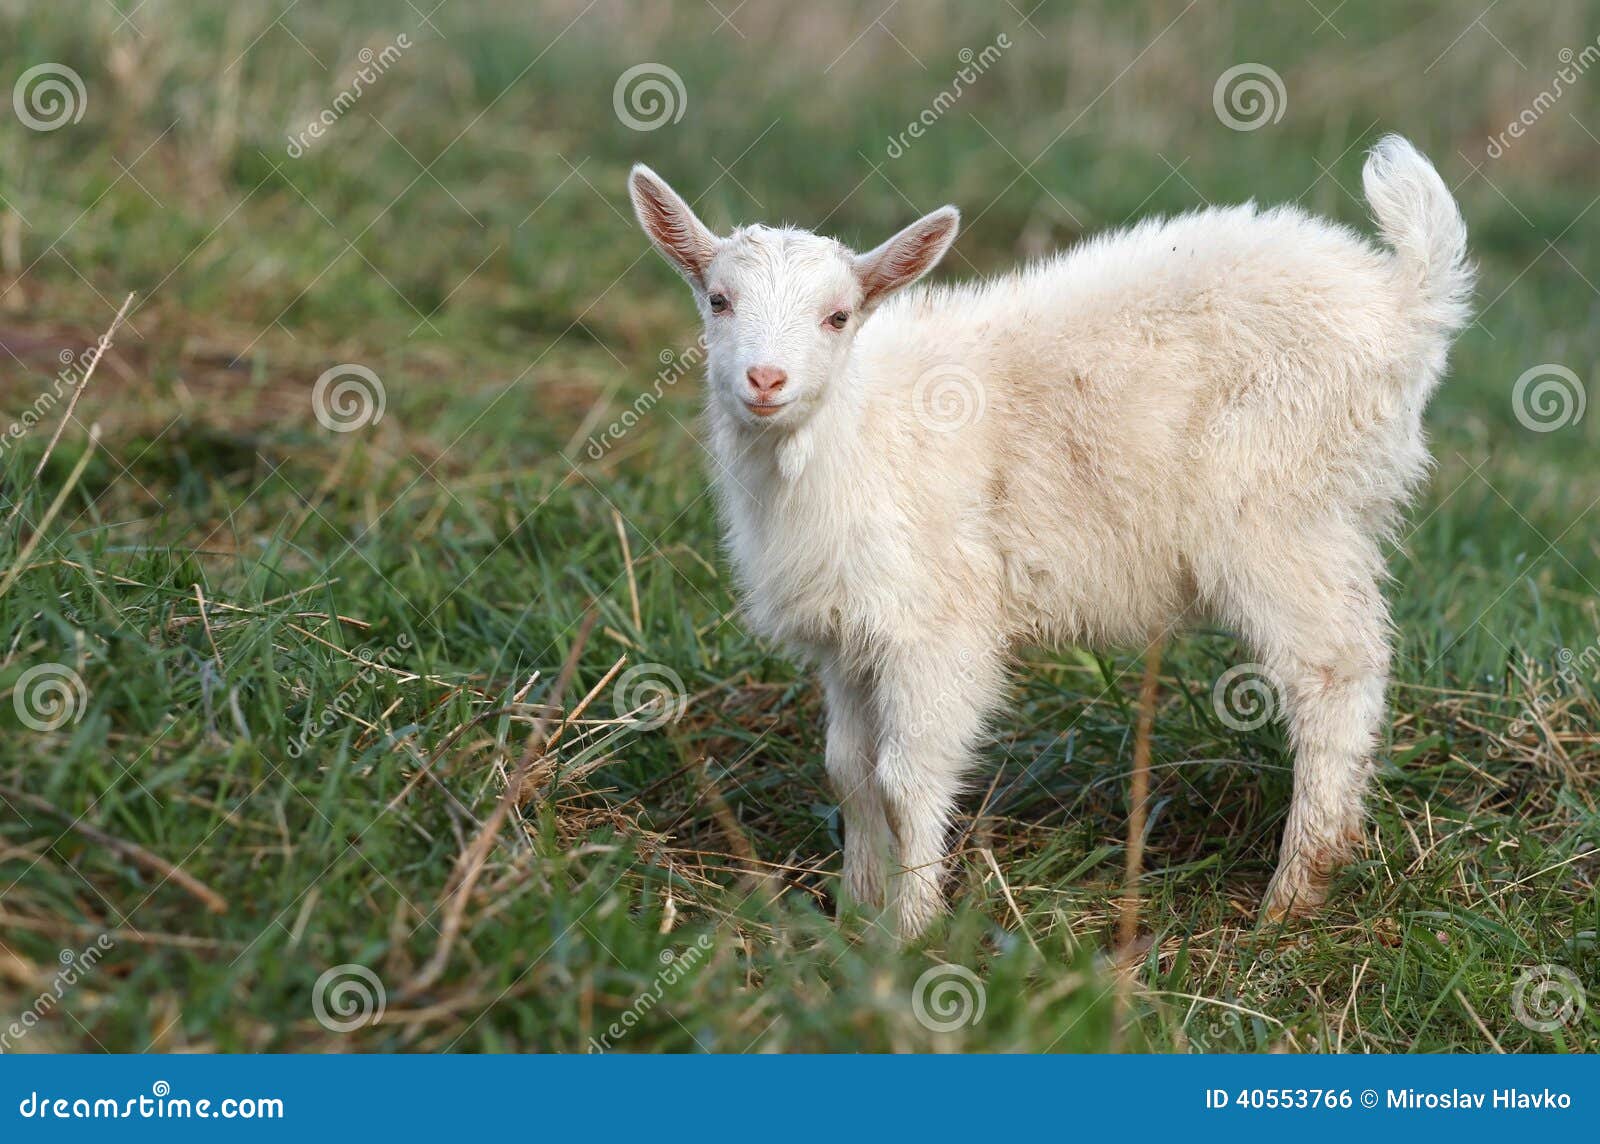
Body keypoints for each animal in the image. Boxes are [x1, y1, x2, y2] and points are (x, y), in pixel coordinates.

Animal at [628, 136, 1473, 939]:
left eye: (838, 317)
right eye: (718, 300)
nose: (766, 381)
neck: (855, 430)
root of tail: (1404, 302)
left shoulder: (936, 628)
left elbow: (907, 777)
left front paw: (911, 929)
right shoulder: (849, 636)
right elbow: (851, 772)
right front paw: (854, 913)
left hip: (1282, 516)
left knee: (1336, 671)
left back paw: (1295, 893)